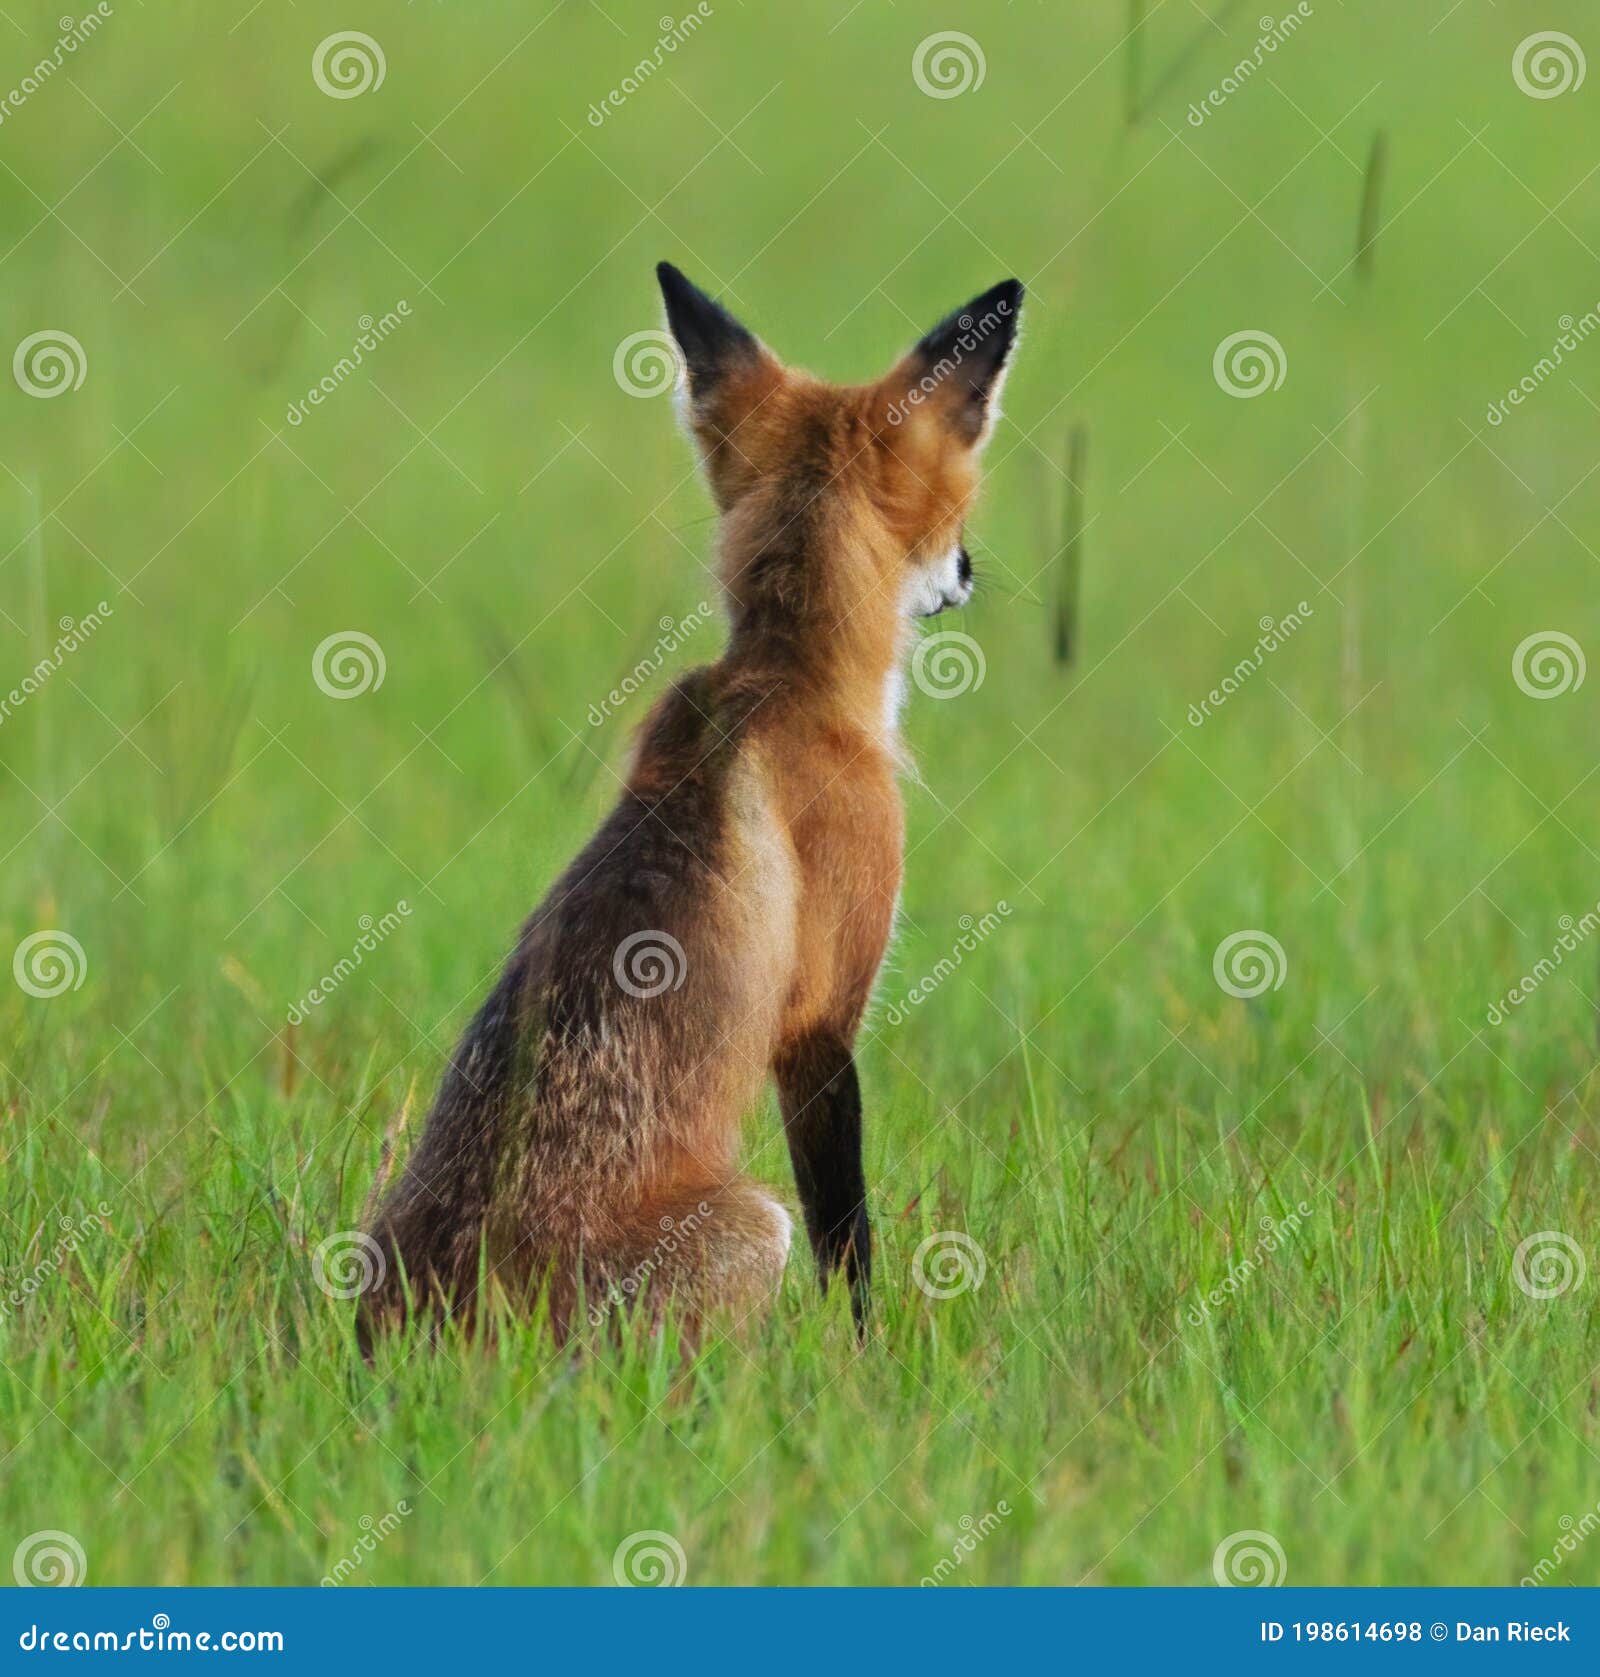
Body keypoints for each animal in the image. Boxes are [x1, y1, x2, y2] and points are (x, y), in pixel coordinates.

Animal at [361, 262, 1023, 1345]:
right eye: (960, 504)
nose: (966, 574)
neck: (784, 685)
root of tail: (413, 1332)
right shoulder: (819, 1022)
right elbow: (850, 1245)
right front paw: (869, 1360)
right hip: (755, 1225)